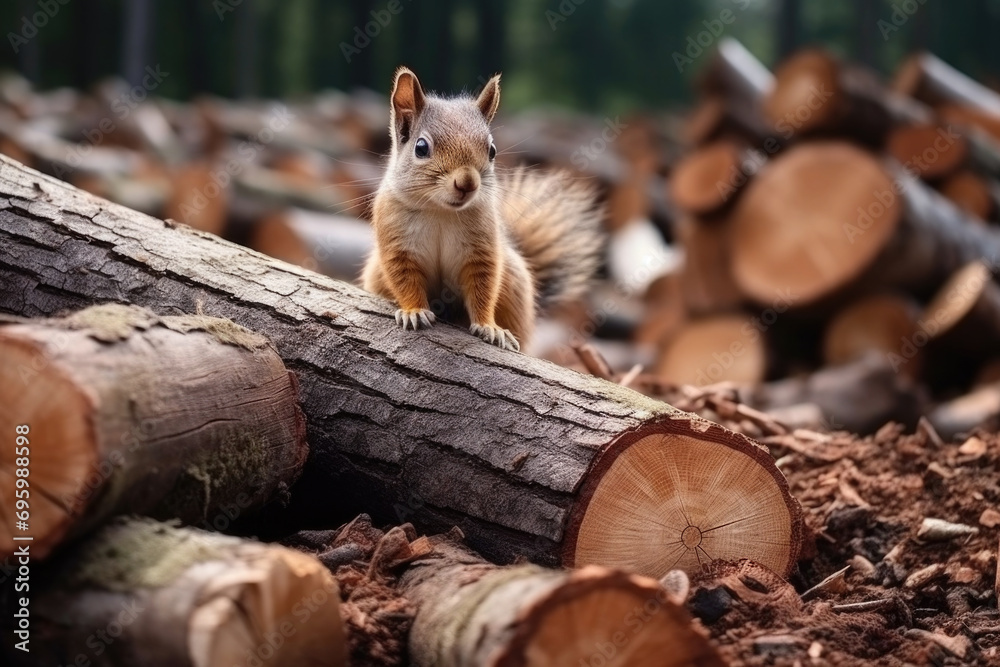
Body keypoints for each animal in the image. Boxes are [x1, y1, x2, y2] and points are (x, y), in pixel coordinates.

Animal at [362, 67, 604, 352]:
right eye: (421, 148)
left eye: (492, 150)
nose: (467, 183)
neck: (441, 212)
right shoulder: (396, 244)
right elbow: (405, 280)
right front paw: (414, 311)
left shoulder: (482, 250)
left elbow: (483, 288)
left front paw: (489, 327)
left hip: (514, 279)